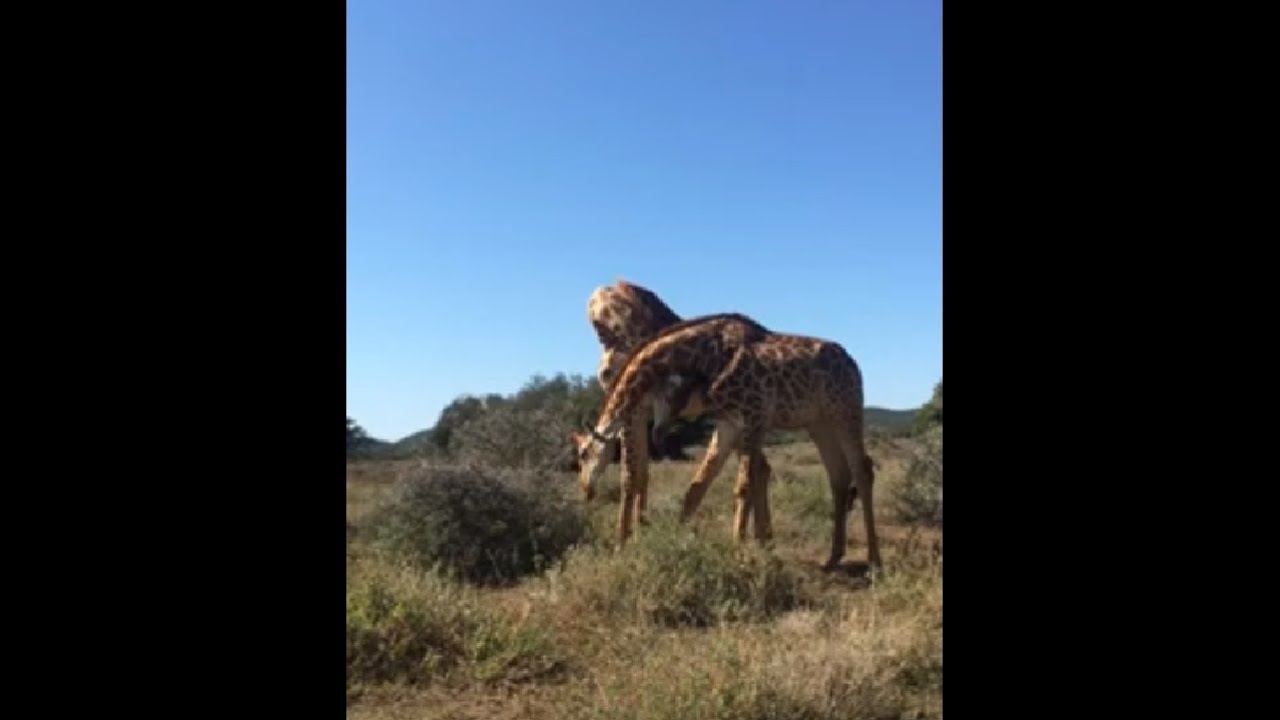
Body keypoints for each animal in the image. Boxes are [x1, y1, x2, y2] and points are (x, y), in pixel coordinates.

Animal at [576, 312, 881, 571]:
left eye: (582, 453)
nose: (585, 492)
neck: (708, 355)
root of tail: (853, 364)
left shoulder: (753, 416)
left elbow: (744, 485)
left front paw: (739, 552)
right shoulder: (732, 422)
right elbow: (710, 485)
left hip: (846, 411)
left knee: (862, 471)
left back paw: (874, 560)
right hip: (820, 423)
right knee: (838, 477)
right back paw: (833, 557)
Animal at [580, 279, 774, 541]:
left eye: (582, 453)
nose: (584, 492)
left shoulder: (633, 408)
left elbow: (629, 475)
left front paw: (622, 540)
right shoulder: (642, 411)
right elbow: (643, 472)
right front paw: (640, 531)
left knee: (754, 469)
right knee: (760, 468)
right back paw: (763, 538)